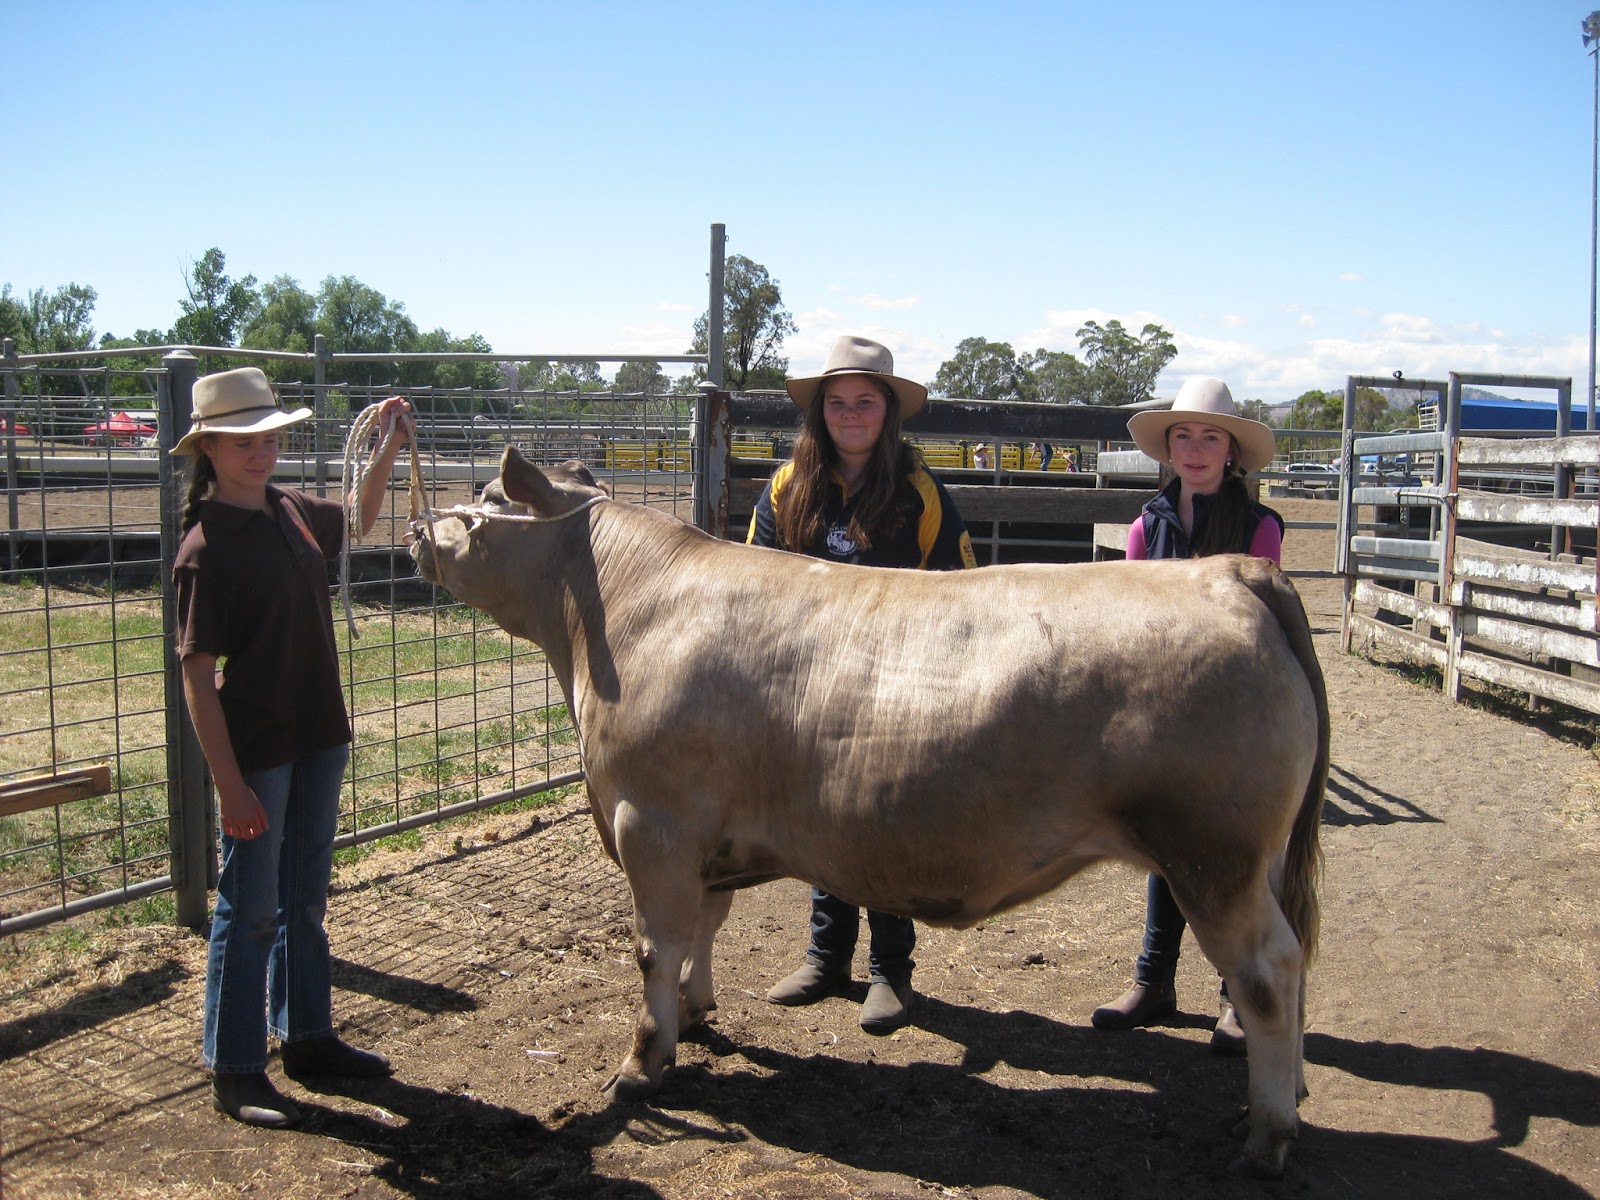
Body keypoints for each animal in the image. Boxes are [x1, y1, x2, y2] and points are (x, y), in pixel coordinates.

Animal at [407, 447, 1329, 1179]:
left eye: (485, 498)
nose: (418, 528)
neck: (616, 611)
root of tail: (1228, 573)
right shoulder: (705, 837)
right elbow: (706, 927)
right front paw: (699, 1014)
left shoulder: (650, 821)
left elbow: (654, 948)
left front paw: (643, 1063)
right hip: (1247, 860)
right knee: (1291, 961)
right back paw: (1282, 1098)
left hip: (1214, 856)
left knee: (1270, 970)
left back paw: (1269, 1136)